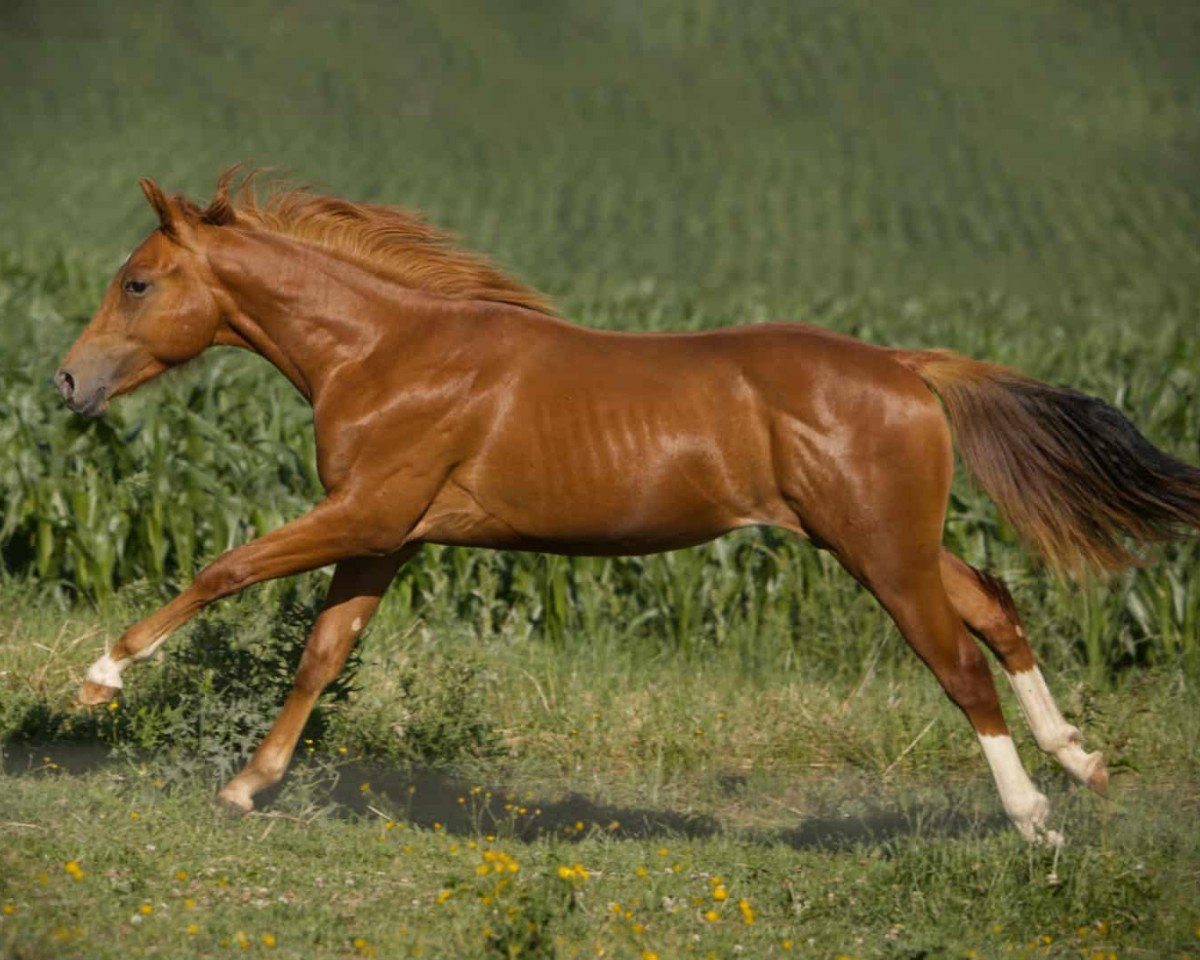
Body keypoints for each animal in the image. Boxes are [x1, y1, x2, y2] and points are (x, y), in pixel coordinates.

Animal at [55, 170, 1200, 843]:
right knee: (997, 604)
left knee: (958, 662)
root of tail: (908, 367)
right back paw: (1083, 759)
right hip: (895, 542)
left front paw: (99, 679)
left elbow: (227, 567)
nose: (66, 384)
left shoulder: (368, 514)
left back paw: (1036, 818)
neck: (386, 353)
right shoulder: (389, 536)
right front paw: (250, 786)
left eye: (139, 282)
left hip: (879, 548)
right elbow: (322, 656)